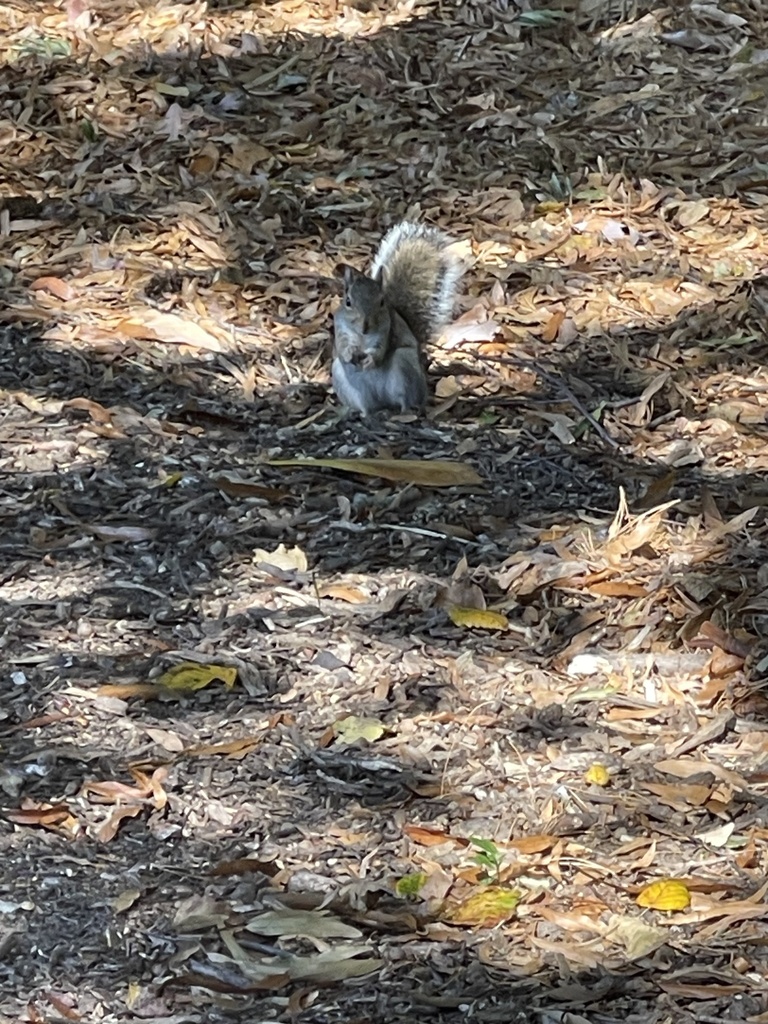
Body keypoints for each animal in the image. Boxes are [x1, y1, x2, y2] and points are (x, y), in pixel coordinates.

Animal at [331, 222, 463, 416]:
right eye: (348, 302)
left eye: (381, 302)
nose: (365, 327)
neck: (362, 337)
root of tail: (383, 402)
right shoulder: (340, 328)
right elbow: (342, 346)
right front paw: (349, 352)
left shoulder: (385, 330)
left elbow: (380, 350)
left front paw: (371, 360)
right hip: (345, 383)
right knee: (366, 406)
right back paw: (363, 414)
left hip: (403, 365)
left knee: (405, 399)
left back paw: (405, 410)